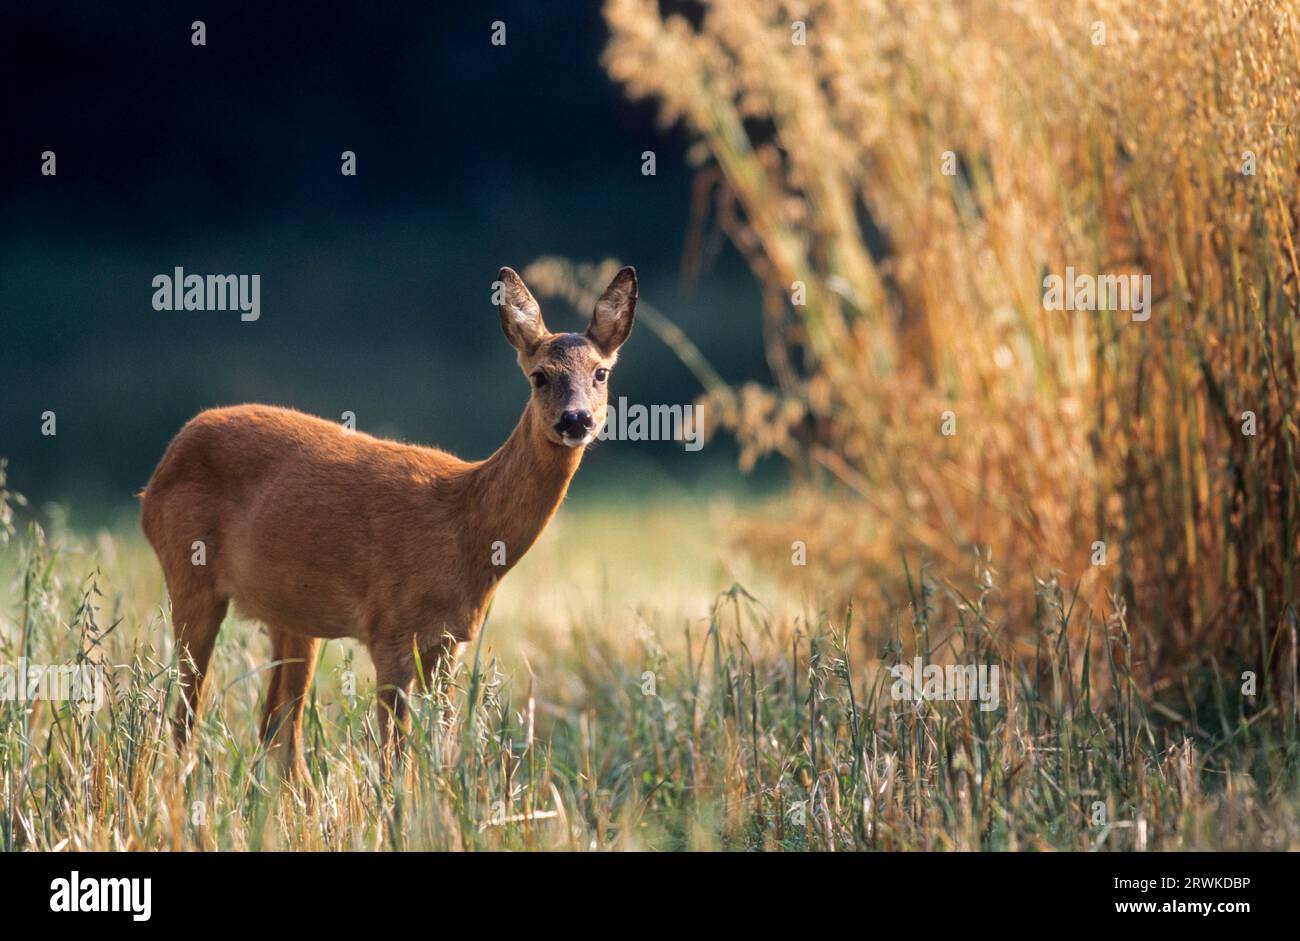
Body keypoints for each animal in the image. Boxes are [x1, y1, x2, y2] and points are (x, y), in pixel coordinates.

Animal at [140, 265, 636, 776]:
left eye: (600, 373)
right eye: (539, 376)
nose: (576, 420)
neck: (465, 527)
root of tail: (160, 469)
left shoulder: (449, 642)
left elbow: (441, 744)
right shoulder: (390, 629)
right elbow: (395, 758)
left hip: (291, 616)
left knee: (276, 728)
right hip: (189, 576)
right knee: (185, 714)